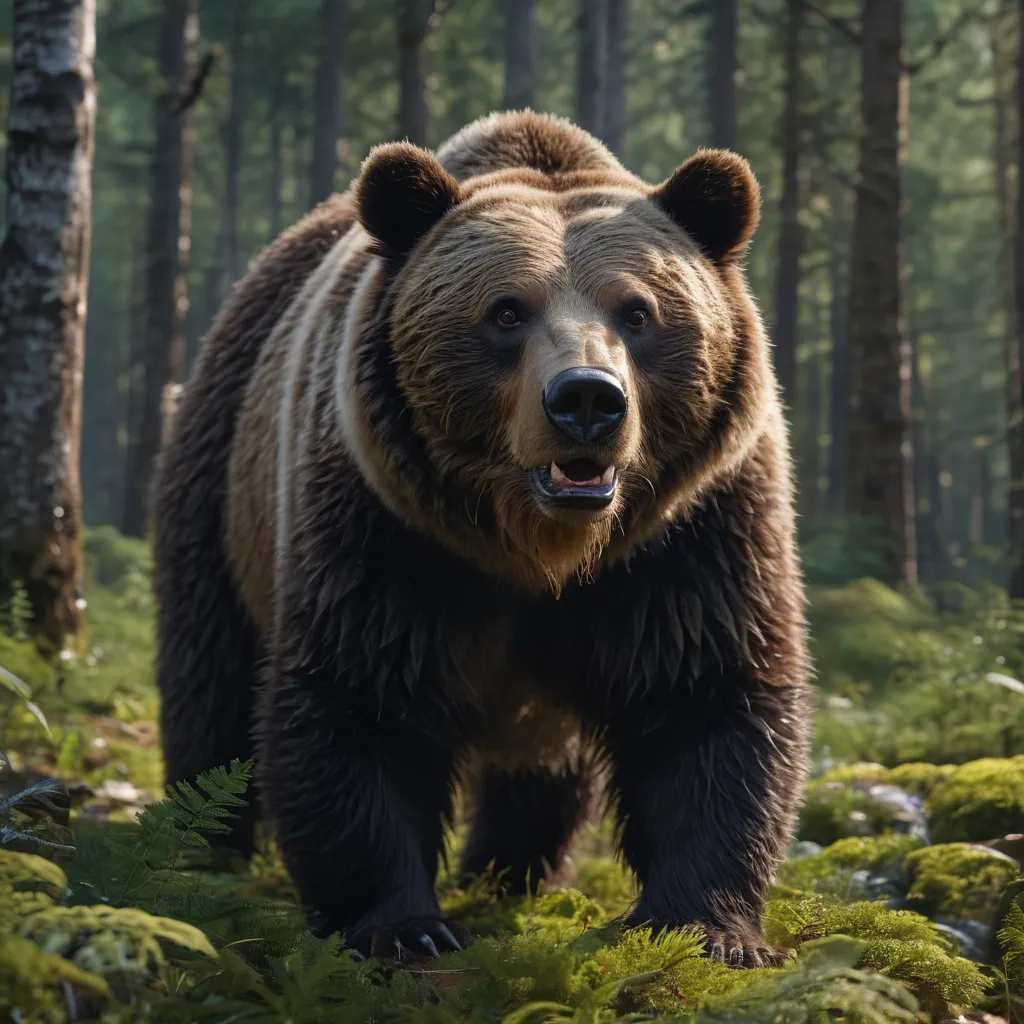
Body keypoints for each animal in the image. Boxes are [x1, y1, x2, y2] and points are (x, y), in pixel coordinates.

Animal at [152, 110, 813, 968]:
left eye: (638, 312)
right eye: (506, 310)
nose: (587, 400)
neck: (540, 547)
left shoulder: (690, 535)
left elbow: (707, 695)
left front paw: (707, 928)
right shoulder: (384, 529)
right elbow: (358, 698)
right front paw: (403, 925)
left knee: (545, 763)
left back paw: (512, 871)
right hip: (223, 471)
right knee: (211, 671)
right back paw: (205, 852)